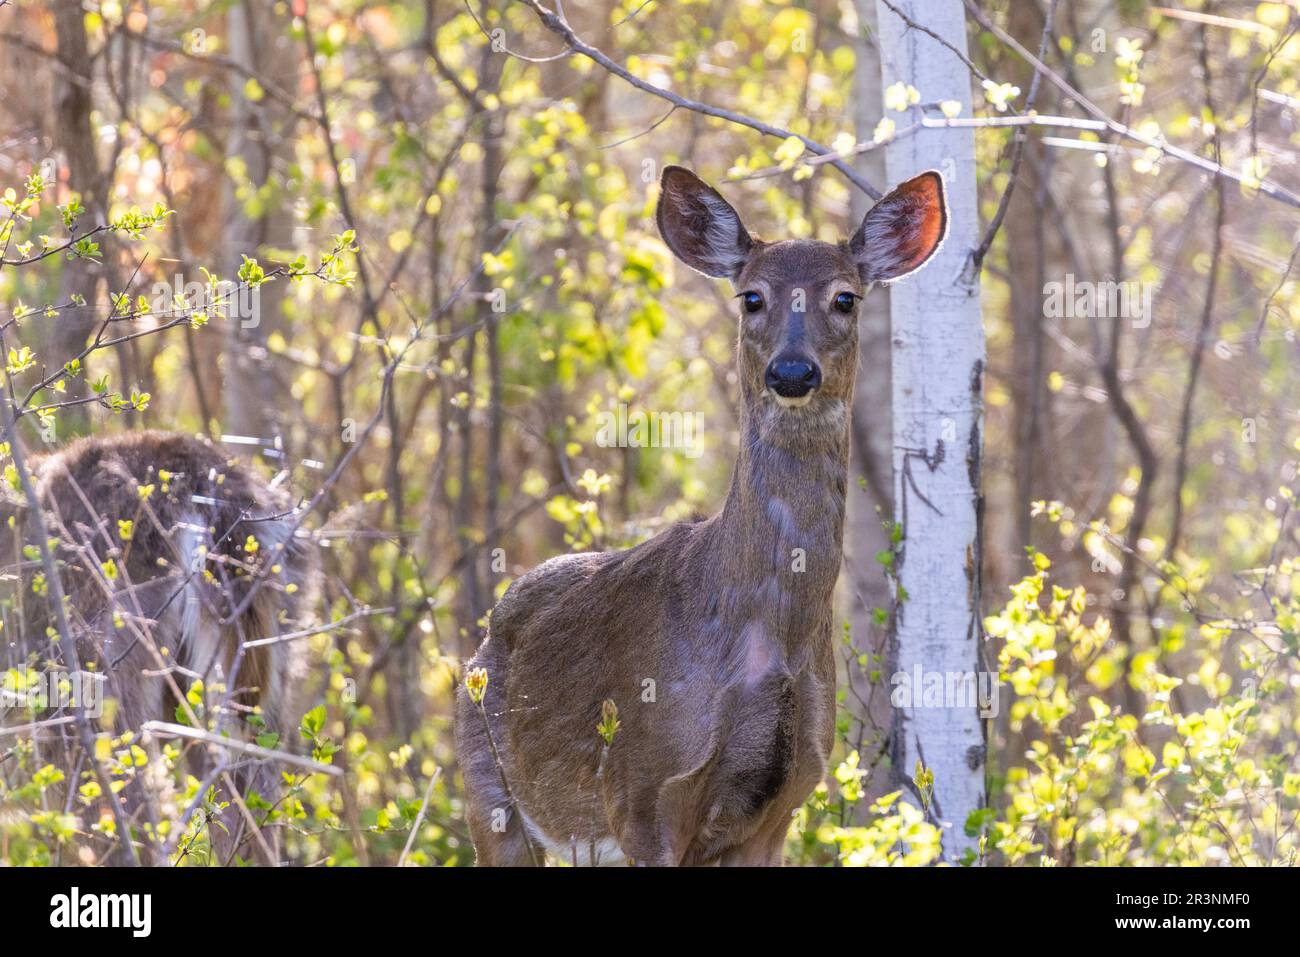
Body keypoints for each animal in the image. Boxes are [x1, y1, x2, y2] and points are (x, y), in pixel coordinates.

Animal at [455, 165, 948, 866]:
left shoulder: (782, 803)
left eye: (846, 298)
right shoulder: (641, 788)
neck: (766, 634)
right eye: (751, 297)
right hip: (487, 786)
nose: (791, 372)